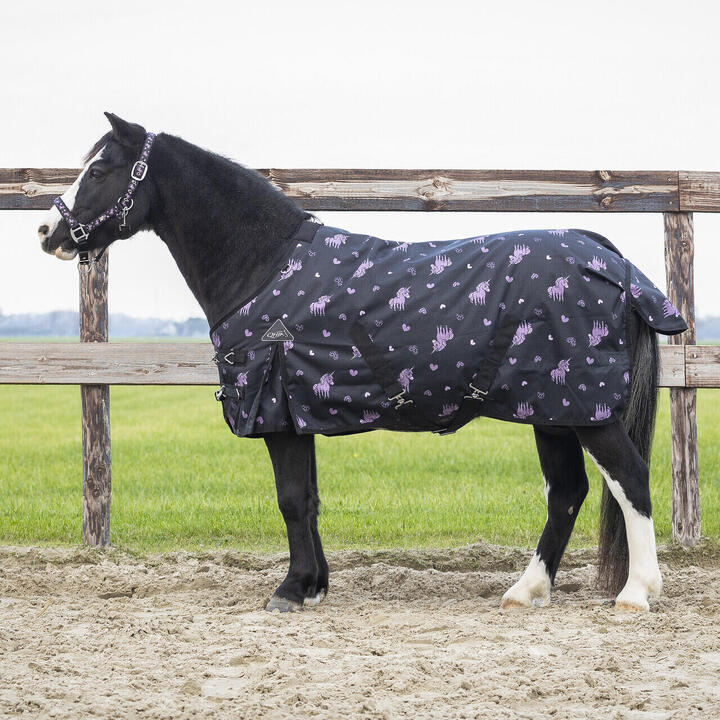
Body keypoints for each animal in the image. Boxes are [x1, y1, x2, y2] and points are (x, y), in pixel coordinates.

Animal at [38, 112, 682, 613]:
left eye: (100, 168)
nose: (48, 232)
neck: (263, 264)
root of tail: (603, 251)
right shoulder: (295, 411)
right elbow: (309, 498)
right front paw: (314, 585)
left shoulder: (274, 411)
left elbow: (290, 498)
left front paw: (290, 591)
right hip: (550, 409)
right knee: (568, 491)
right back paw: (525, 591)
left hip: (586, 410)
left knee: (630, 479)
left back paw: (636, 593)